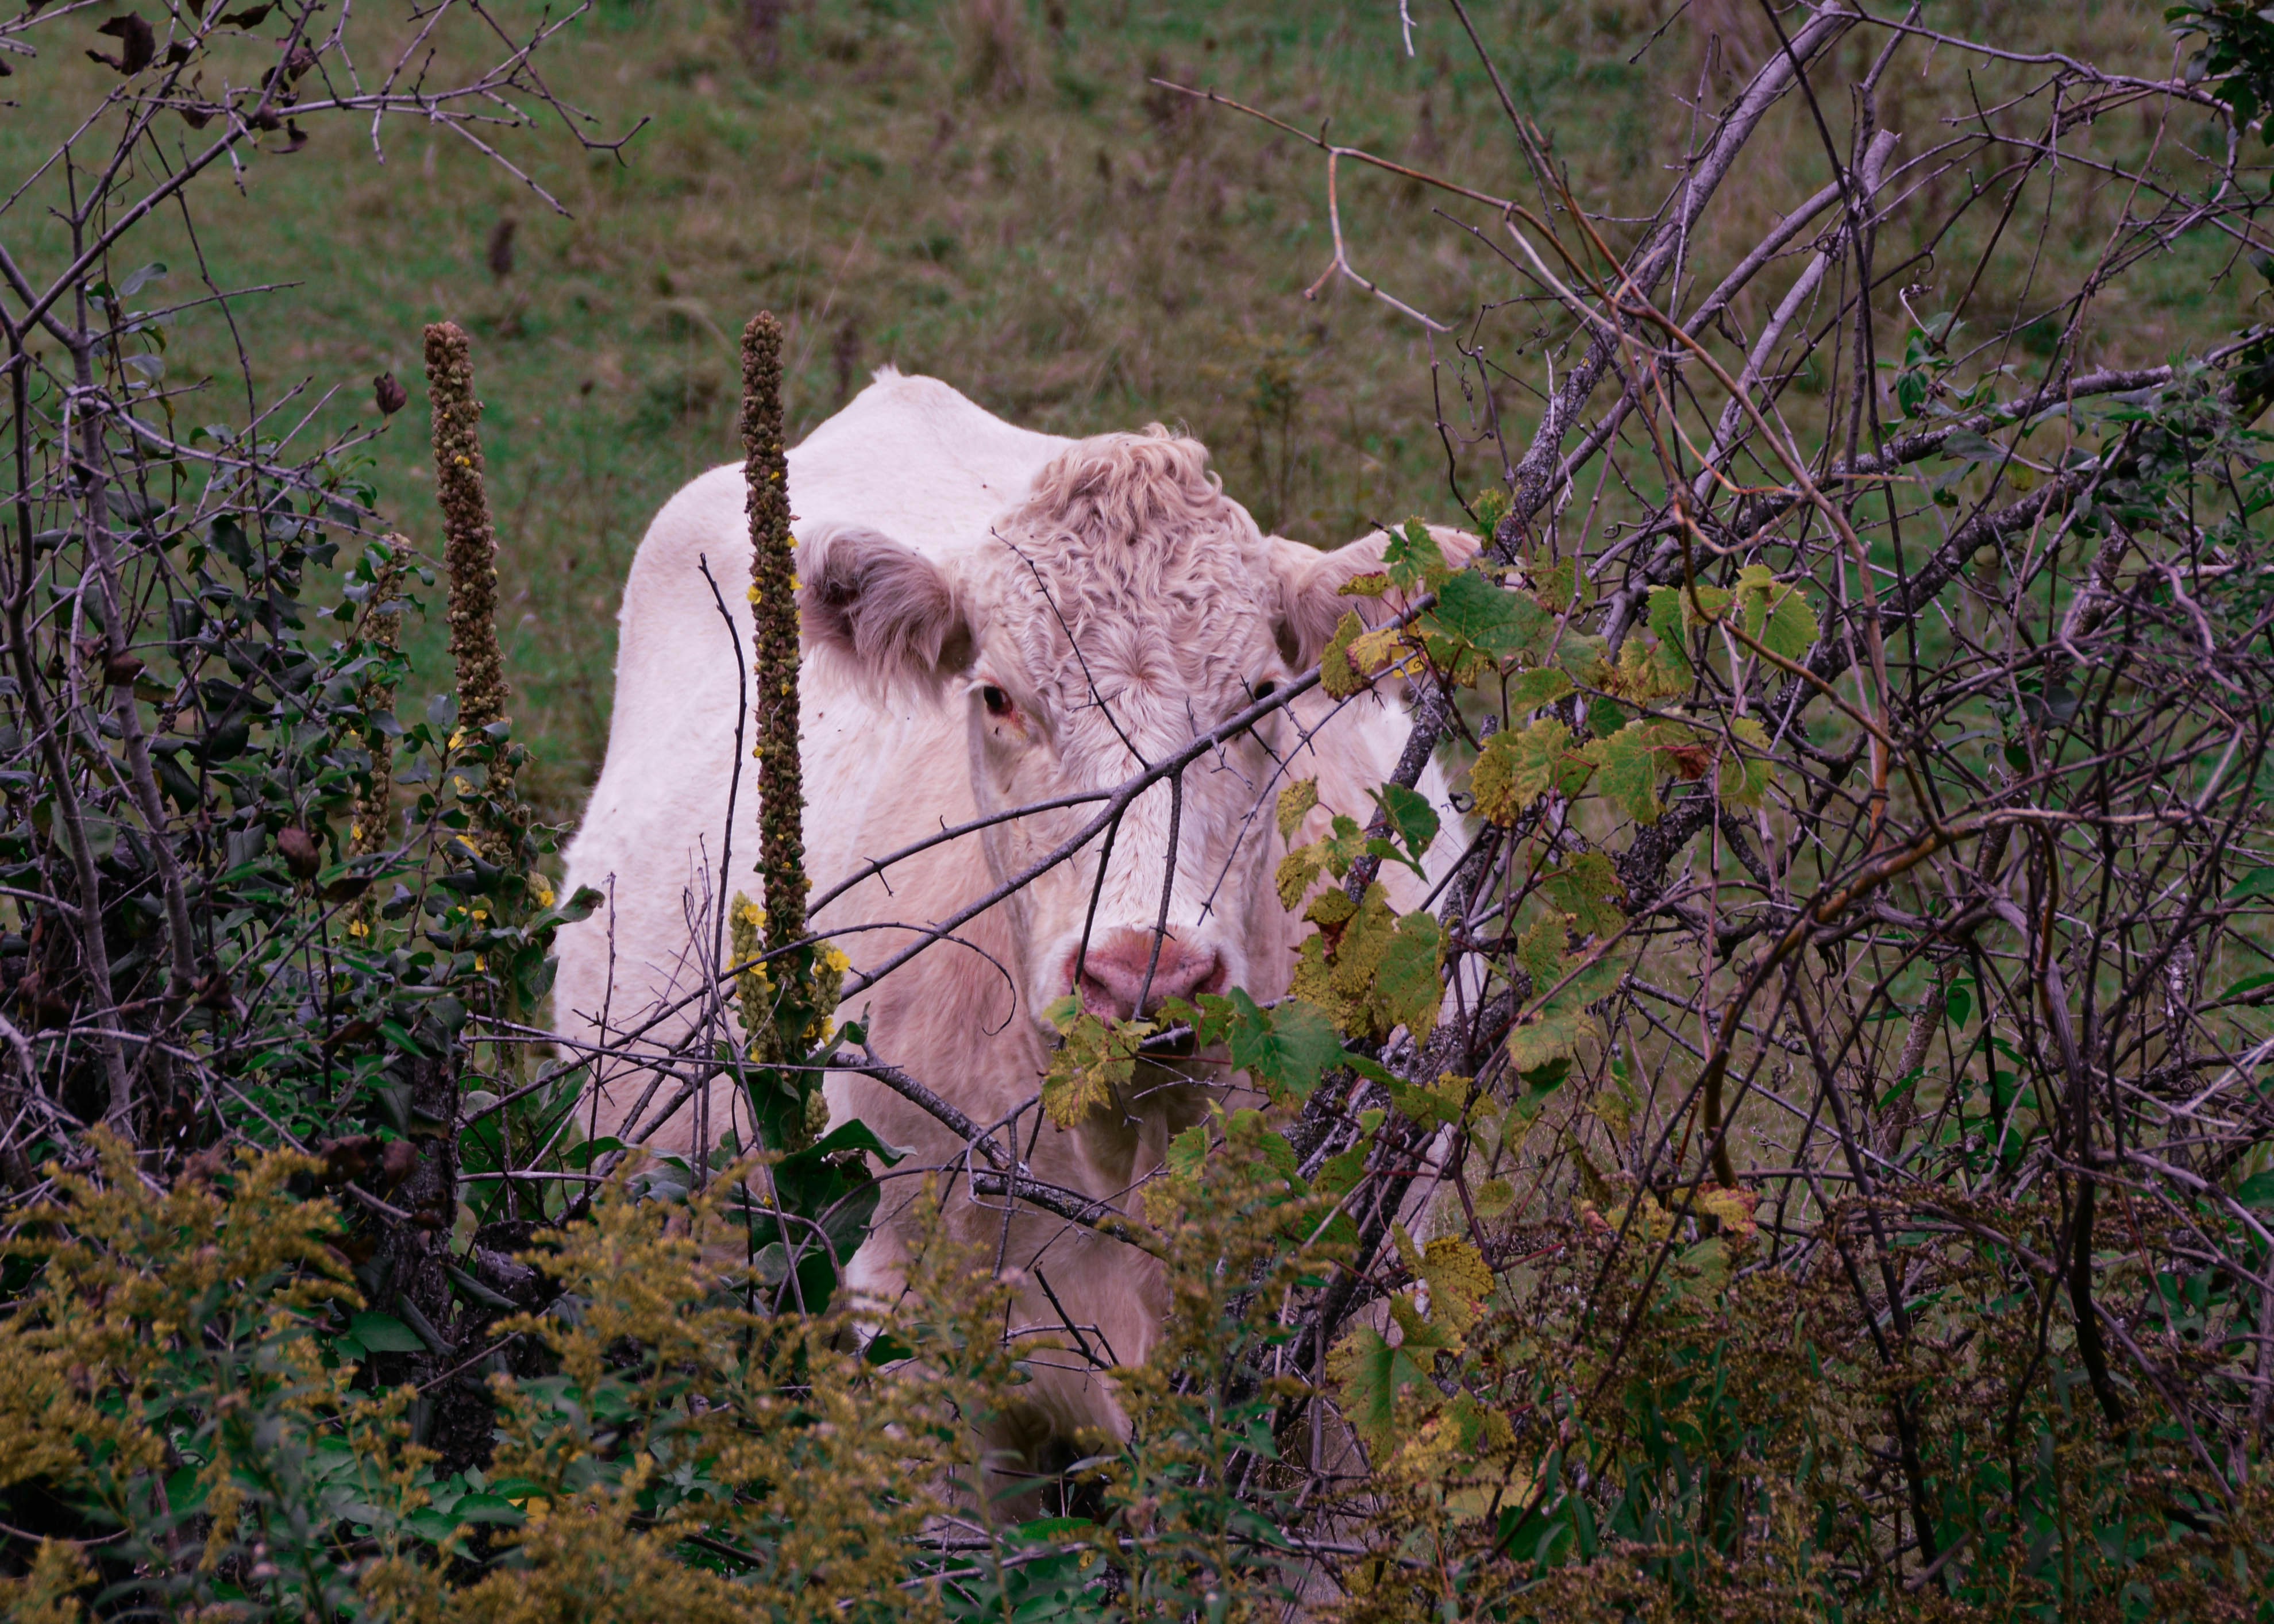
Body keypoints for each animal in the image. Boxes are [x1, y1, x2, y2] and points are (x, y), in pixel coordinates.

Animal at [556, 369, 1466, 1492]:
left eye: (1261, 693)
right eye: (994, 695)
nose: (1142, 977)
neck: (1127, 1147)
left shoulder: (1361, 1338)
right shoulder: (917, 1339)